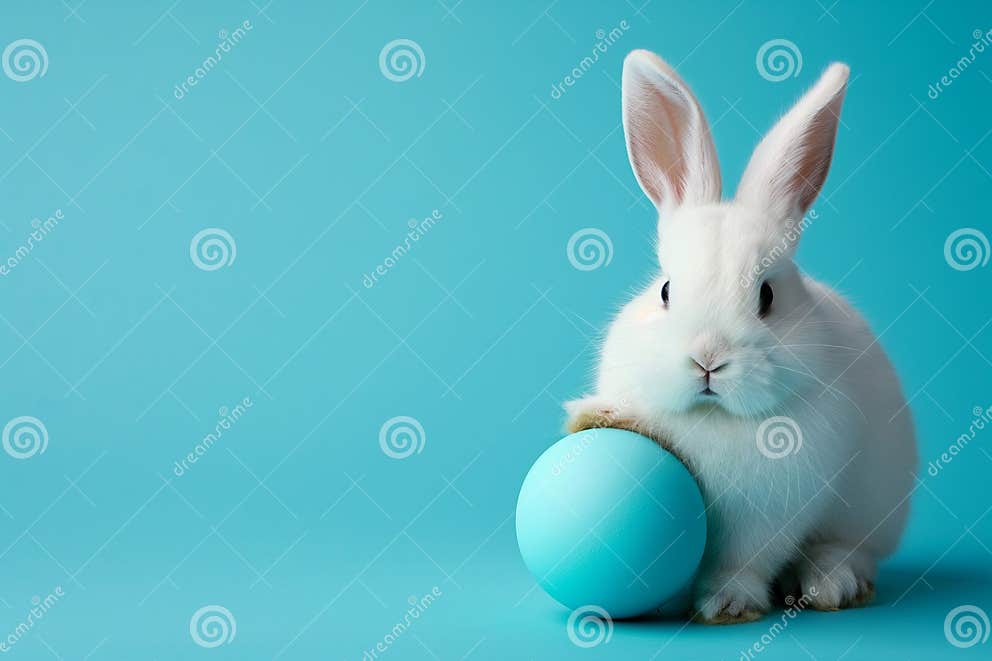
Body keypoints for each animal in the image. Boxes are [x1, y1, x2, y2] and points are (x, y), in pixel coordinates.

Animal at [565, 50, 917, 624]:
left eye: (767, 296)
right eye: (666, 290)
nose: (708, 359)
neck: (715, 417)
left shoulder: (768, 519)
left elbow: (742, 564)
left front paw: (728, 604)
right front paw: (598, 415)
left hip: (874, 511)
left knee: (850, 548)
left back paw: (833, 583)